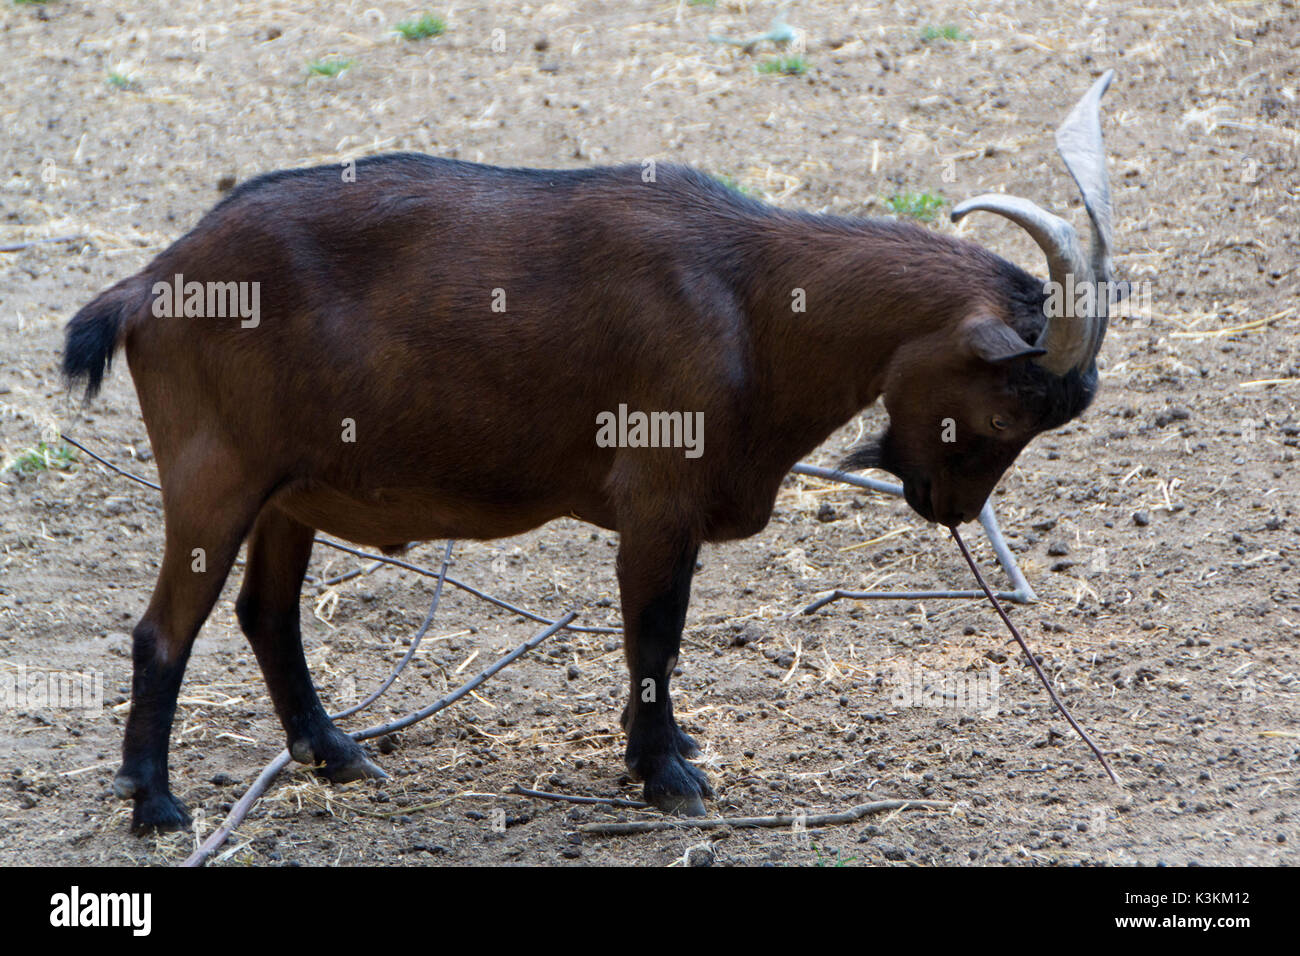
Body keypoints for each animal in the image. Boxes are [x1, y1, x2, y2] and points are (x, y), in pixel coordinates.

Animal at [63, 72, 1117, 831]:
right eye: (1005, 416)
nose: (947, 507)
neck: (755, 300)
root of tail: (151, 283)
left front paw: (672, 751)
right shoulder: (659, 497)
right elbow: (654, 632)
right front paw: (665, 776)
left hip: (290, 492)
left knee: (267, 616)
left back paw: (337, 754)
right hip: (215, 476)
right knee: (163, 632)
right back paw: (155, 806)